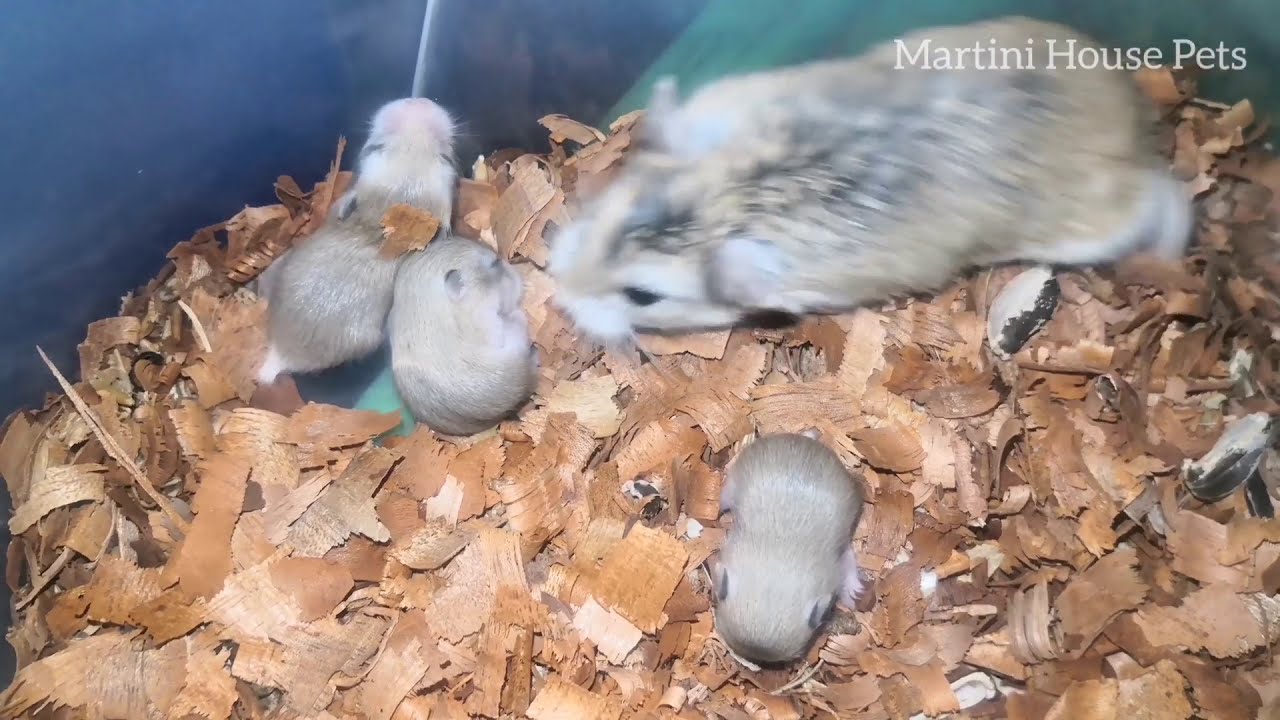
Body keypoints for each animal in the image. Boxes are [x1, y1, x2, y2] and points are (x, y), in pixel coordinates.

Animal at [547, 16, 1193, 345]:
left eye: (642, 296)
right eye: (608, 215)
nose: (559, 294)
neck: (733, 195)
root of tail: (1136, 116)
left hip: (1096, 223)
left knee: (1165, 196)